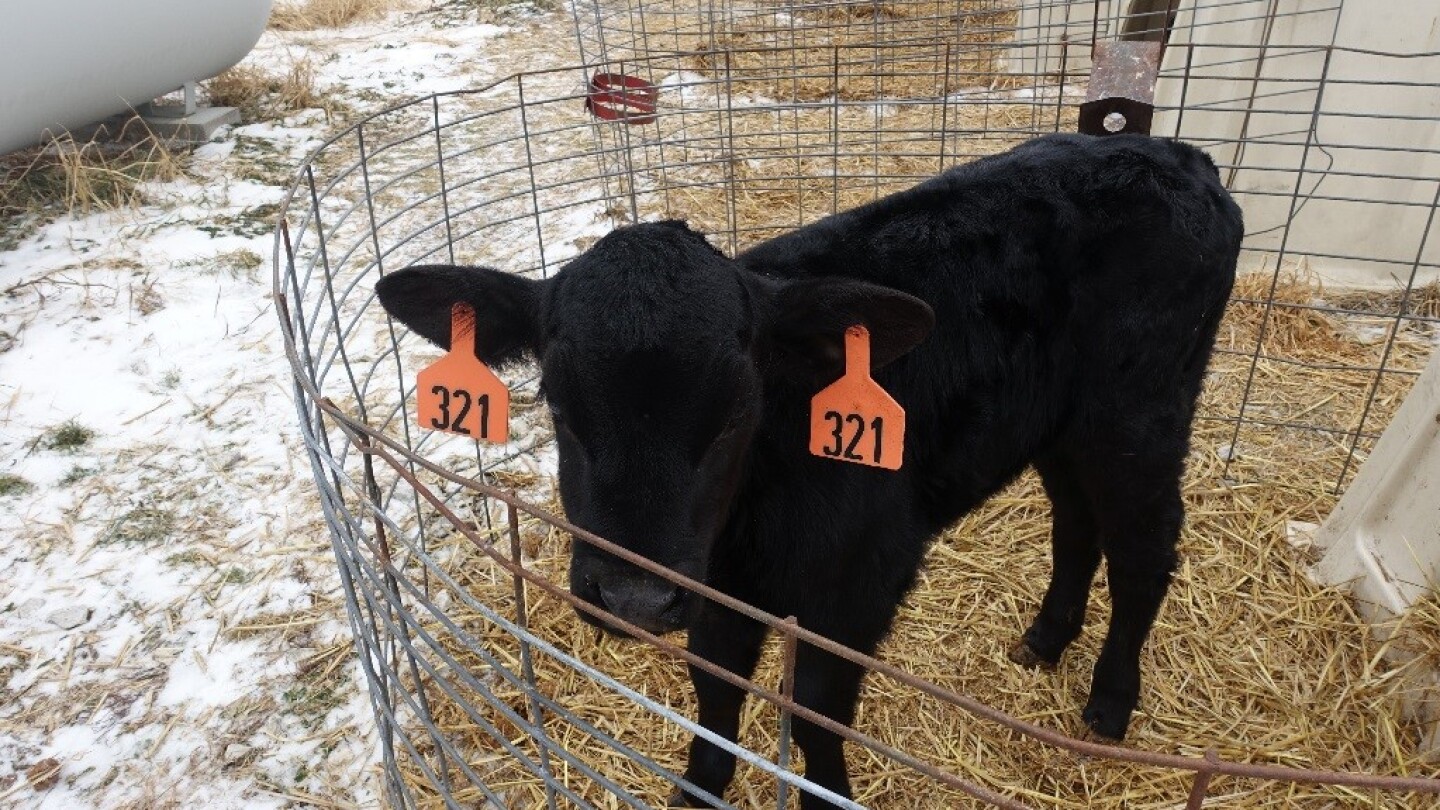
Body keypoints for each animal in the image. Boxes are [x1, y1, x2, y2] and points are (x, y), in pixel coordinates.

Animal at [375, 132, 1244, 808]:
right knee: (1076, 521)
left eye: (738, 409)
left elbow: (821, 709)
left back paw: (1110, 701)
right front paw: (698, 789)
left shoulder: (863, 580)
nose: (632, 597)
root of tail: (1175, 154)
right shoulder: (715, 589)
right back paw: (1046, 637)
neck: (752, 525)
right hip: (1061, 426)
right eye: (556, 401)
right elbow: (717, 696)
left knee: (1144, 553)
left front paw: (825, 795)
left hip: (1141, 413)